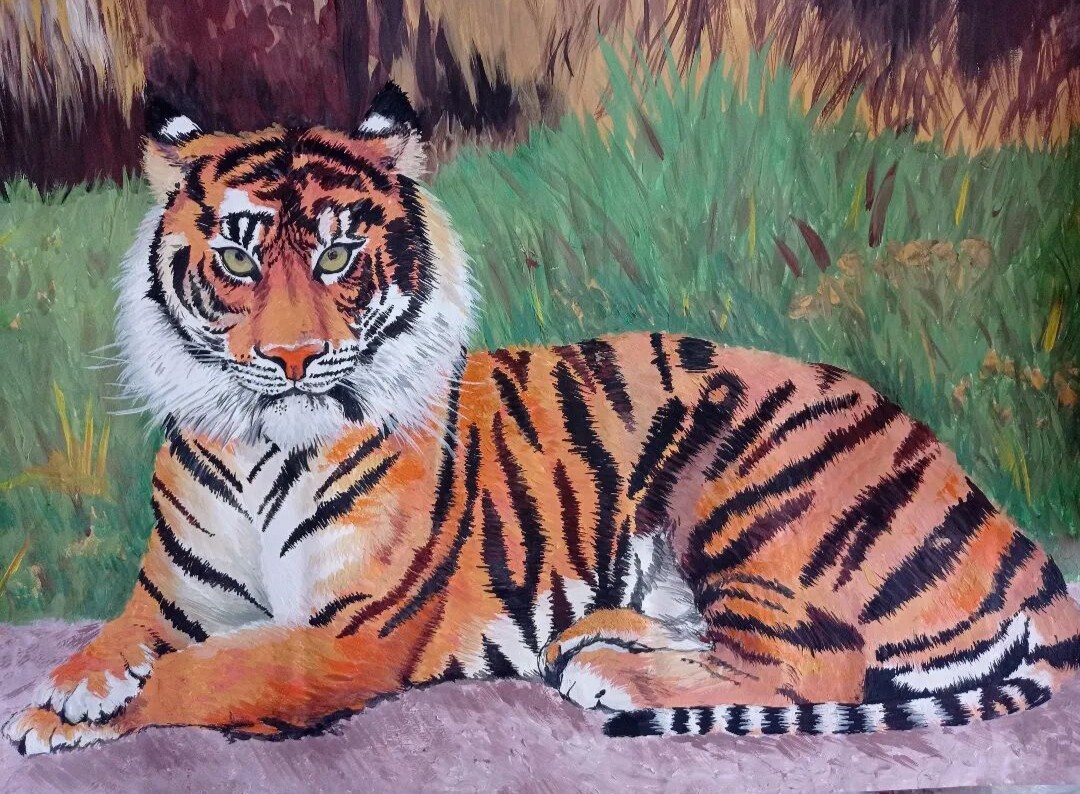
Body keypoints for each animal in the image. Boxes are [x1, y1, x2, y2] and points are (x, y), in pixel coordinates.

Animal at [6, 82, 1080, 756]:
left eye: (339, 254)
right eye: (237, 256)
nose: (294, 359)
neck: (264, 443)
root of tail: (1012, 531)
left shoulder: (345, 635)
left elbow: (207, 675)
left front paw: (65, 717)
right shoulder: (174, 598)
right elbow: (126, 636)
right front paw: (68, 691)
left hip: (746, 489)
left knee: (820, 666)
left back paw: (614, 675)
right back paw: (595, 640)